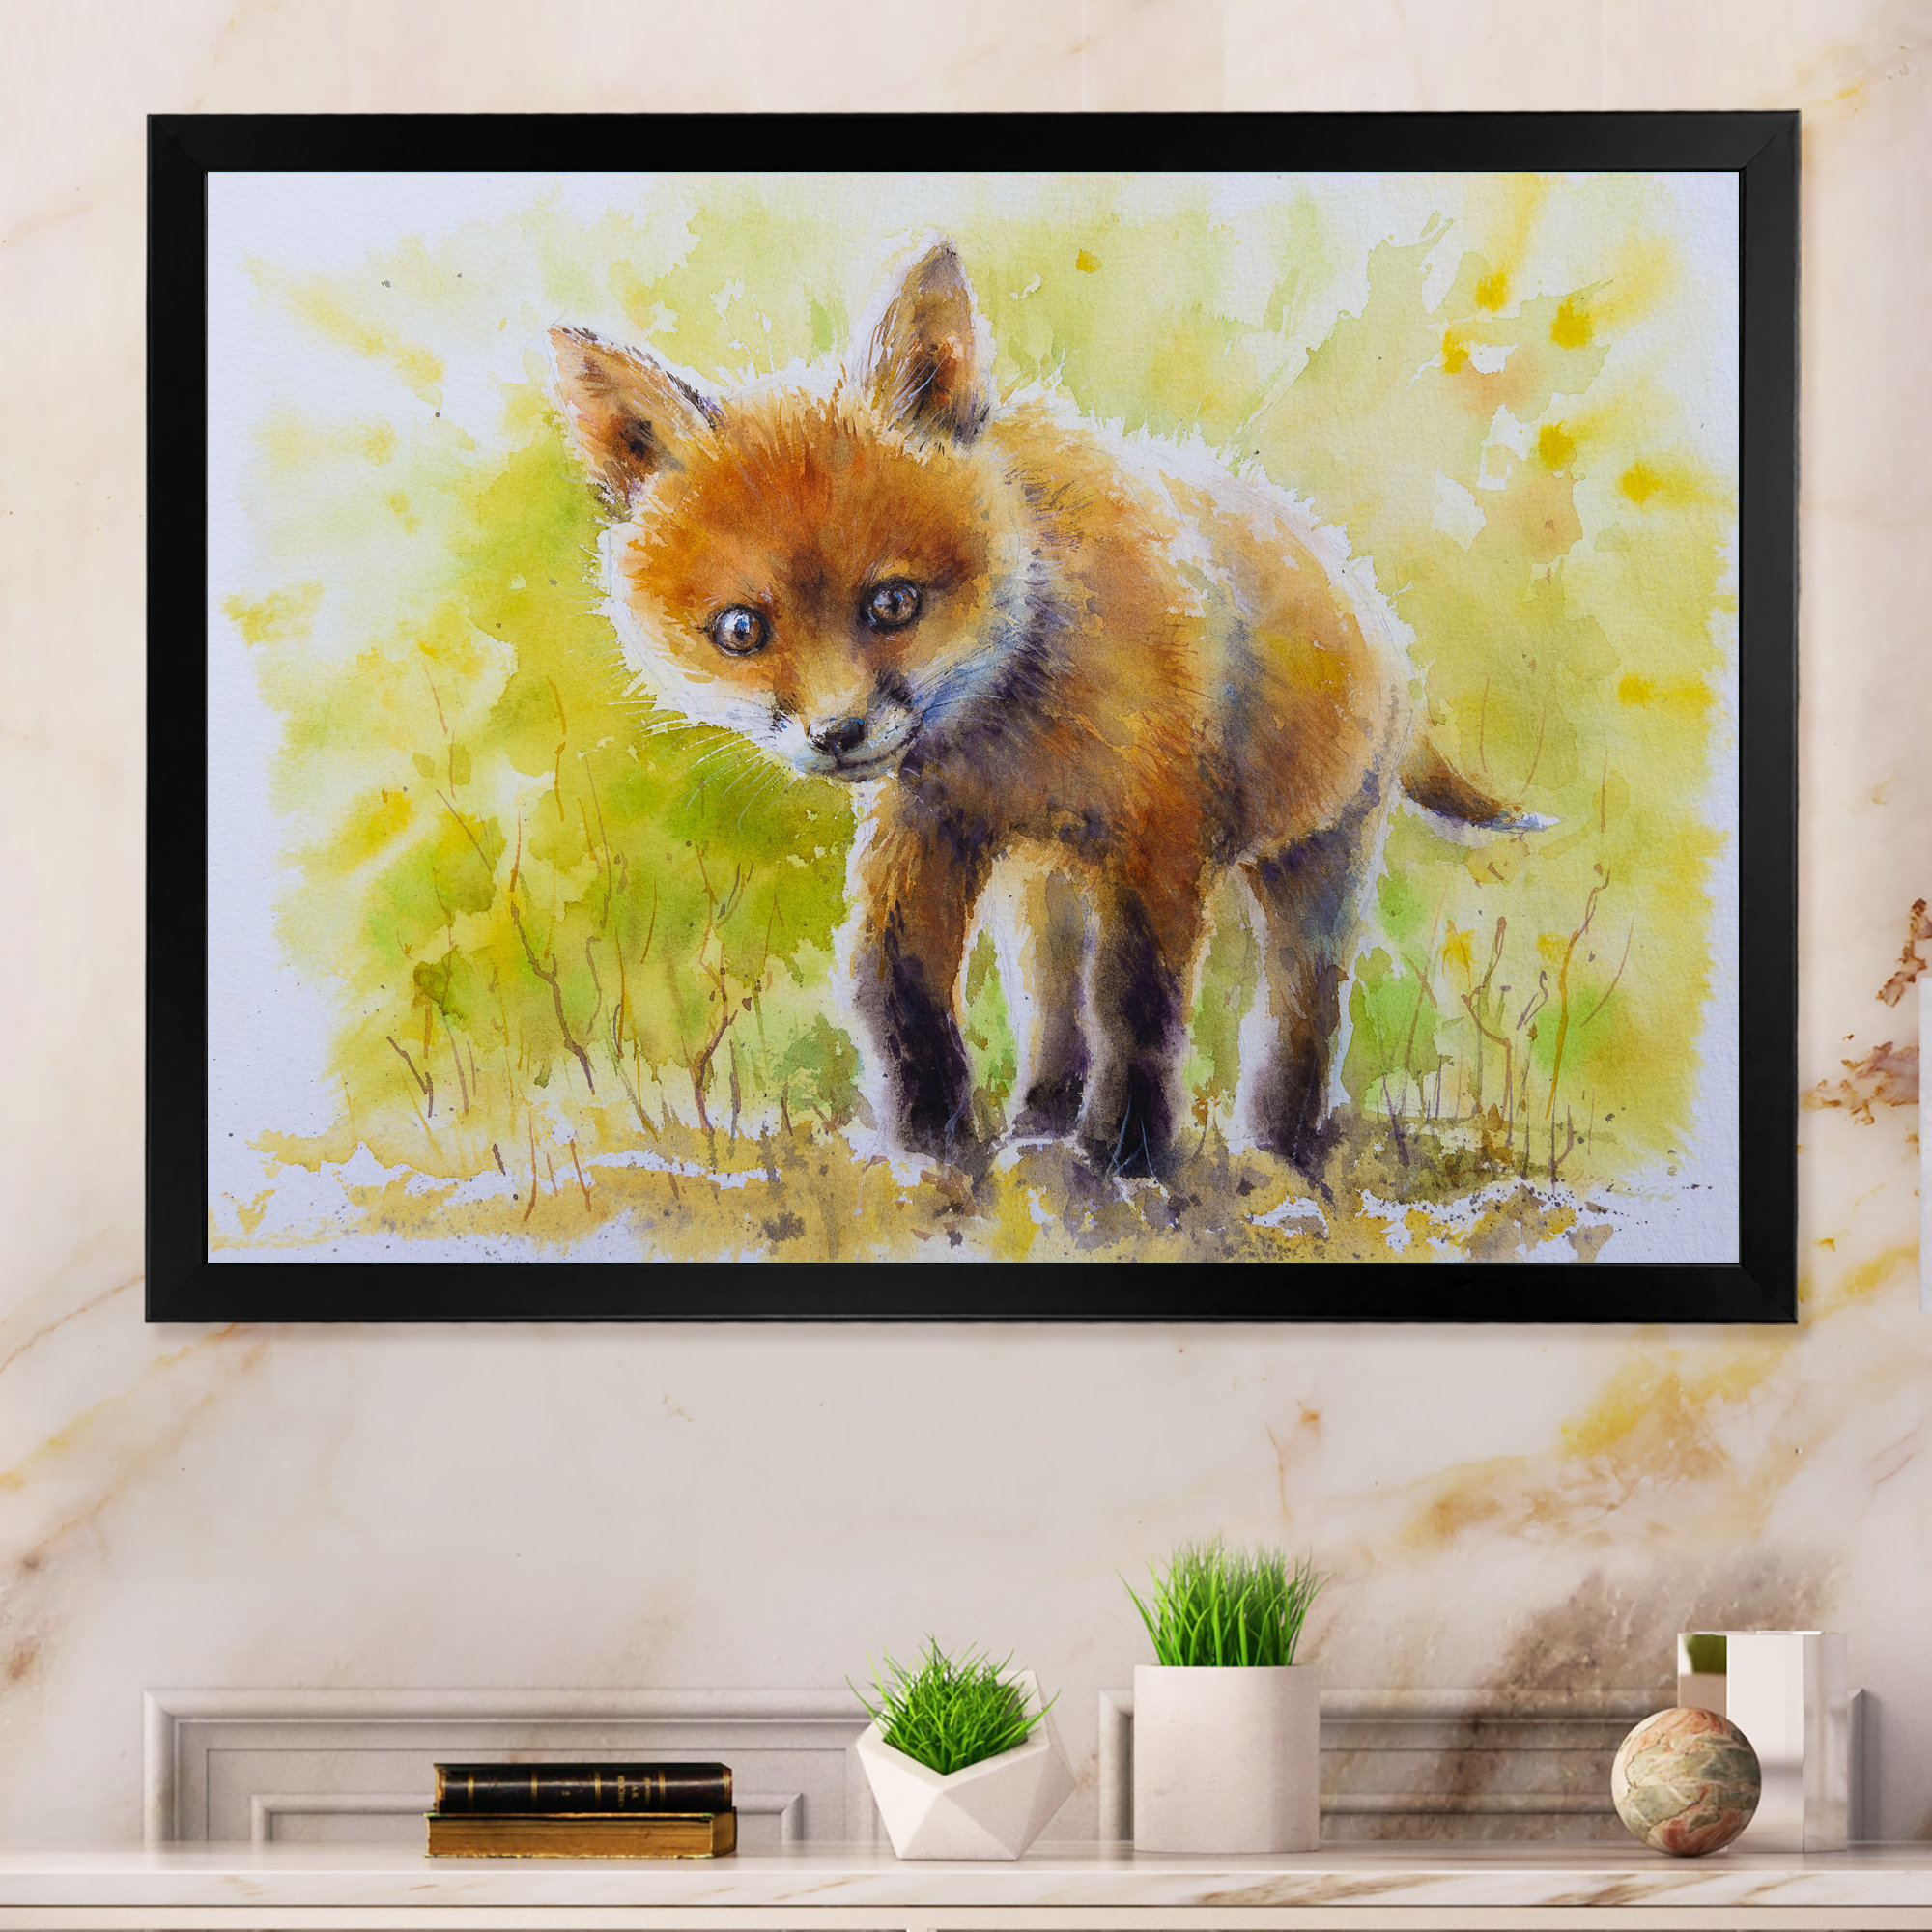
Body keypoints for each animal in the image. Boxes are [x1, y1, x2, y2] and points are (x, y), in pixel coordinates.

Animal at [550, 240, 1537, 1181]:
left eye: (893, 604)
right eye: (741, 629)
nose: (837, 735)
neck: (1013, 735)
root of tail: (1368, 598)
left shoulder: (1161, 842)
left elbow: (1138, 1010)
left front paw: (1129, 1158)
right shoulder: (929, 827)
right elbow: (894, 987)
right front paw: (930, 1145)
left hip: (1314, 862)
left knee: (1300, 1012)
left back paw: (1279, 1148)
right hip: (1042, 886)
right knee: (1052, 1007)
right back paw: (1041, 1122)